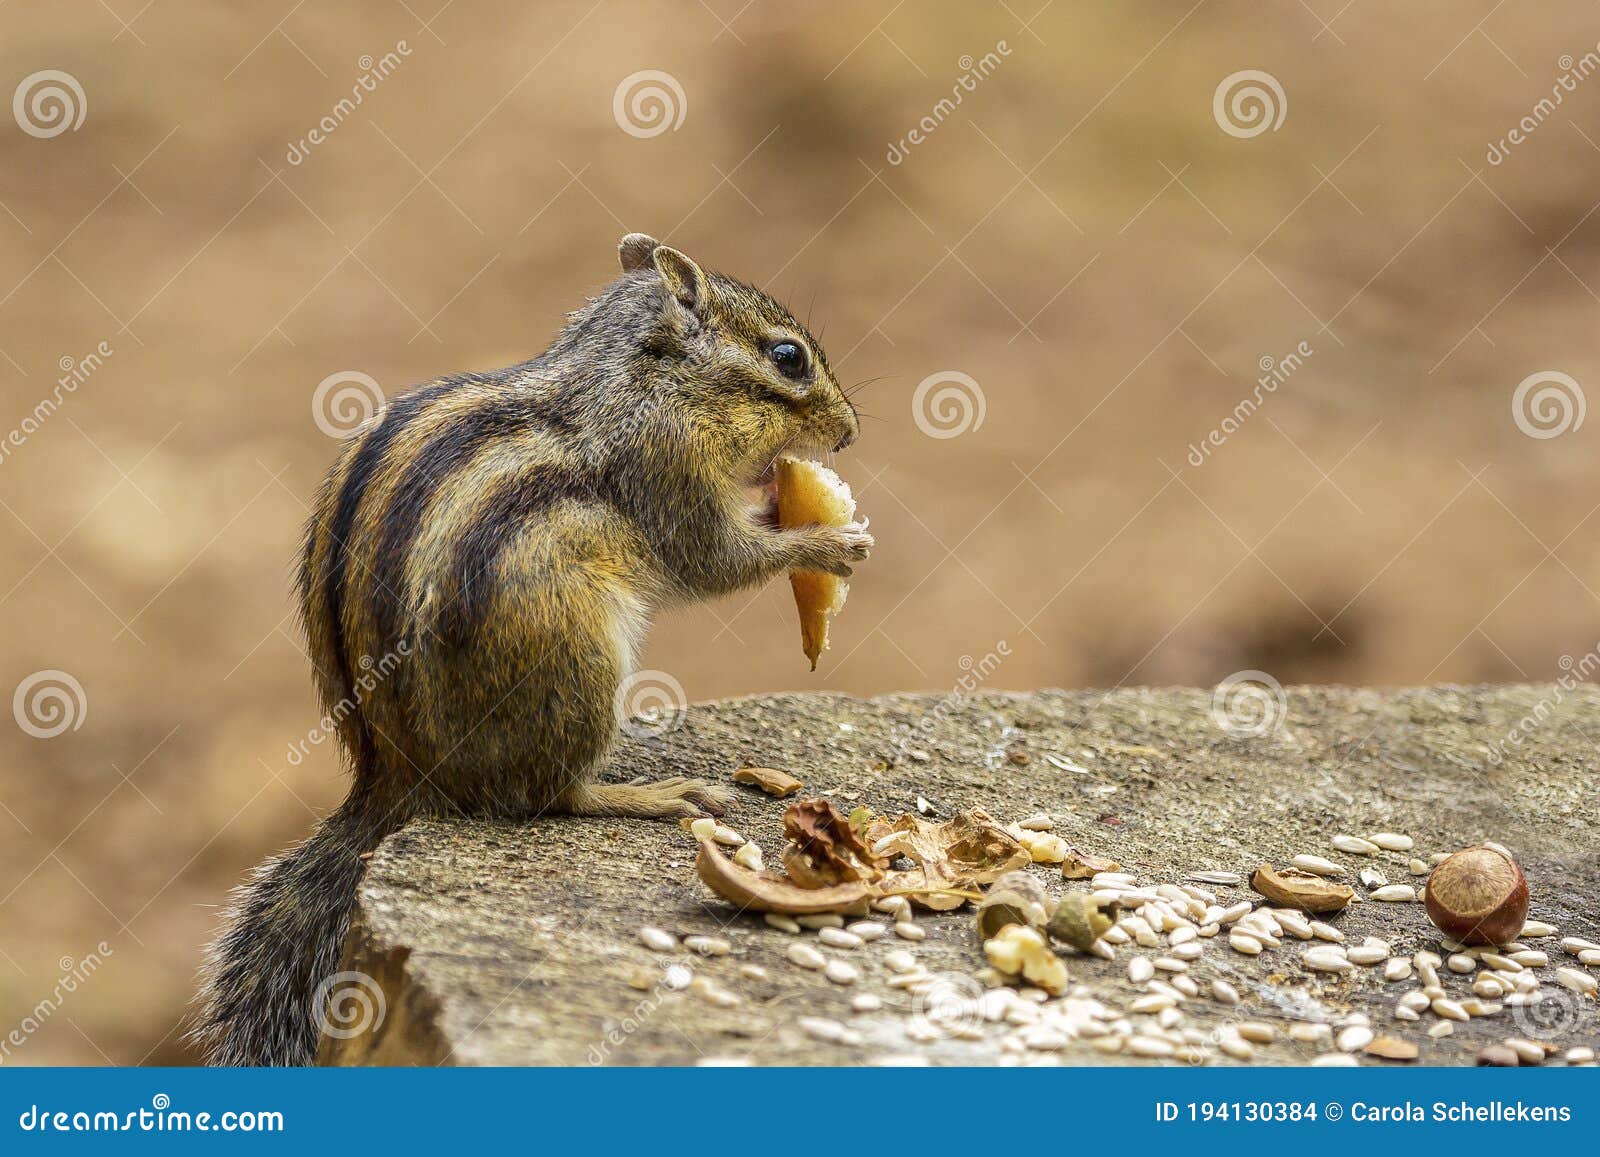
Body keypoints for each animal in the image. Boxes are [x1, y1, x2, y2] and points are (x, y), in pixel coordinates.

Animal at [193, 234, 872, 1066]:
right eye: (788, 357)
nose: (849, 431)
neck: (642, 382)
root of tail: (395, 780)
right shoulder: (666, 474)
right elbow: (715, 560)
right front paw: (827, 541)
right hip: (576, 662)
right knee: (550, 796)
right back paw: (654, 793)